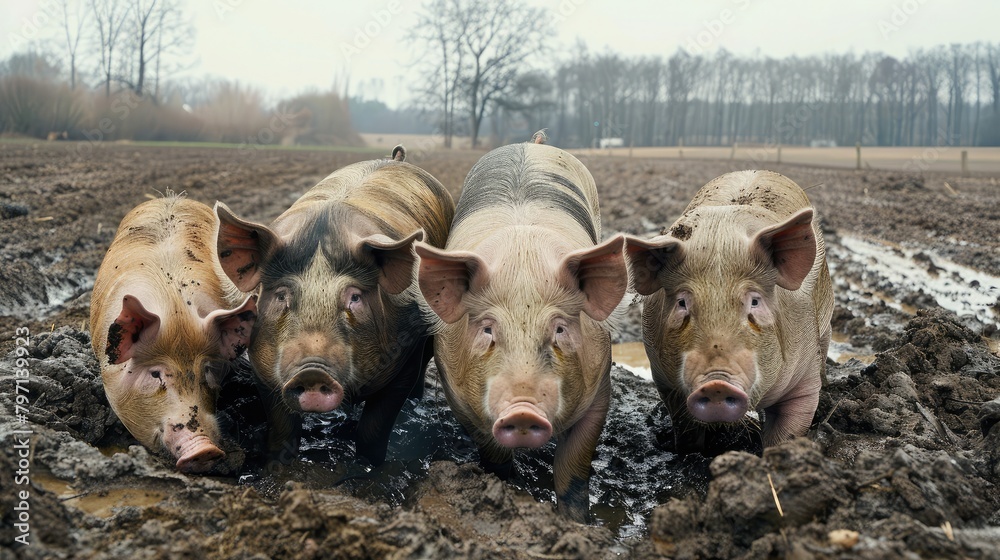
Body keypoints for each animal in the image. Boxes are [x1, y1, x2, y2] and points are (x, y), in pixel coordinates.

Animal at [214, 146, 455, 466]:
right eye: (281, 296)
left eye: (355, 297)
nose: (312, 372)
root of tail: (398, 159)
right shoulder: (262, 368)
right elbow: (281, 428)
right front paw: (279, 464)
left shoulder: (406, 355)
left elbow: (375, 428)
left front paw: (369, 466)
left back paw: (417, 400)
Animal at [415, 133, 629, 521]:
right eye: (488, 329)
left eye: (559, 329)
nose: (523, 409)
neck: (522, 264)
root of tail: (533, 143)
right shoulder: (458, 396)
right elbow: (493, 454)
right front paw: (511, 490)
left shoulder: (600, 386)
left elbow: (573, 467)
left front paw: (578, 523)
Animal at [625, 170, 833, 453]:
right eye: (682, 303)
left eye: (754, 301)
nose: (717, 384)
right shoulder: (666, 383)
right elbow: (686, 430)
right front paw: (691, 455)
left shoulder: (804, 380)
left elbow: (788, 431)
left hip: (825, 327)